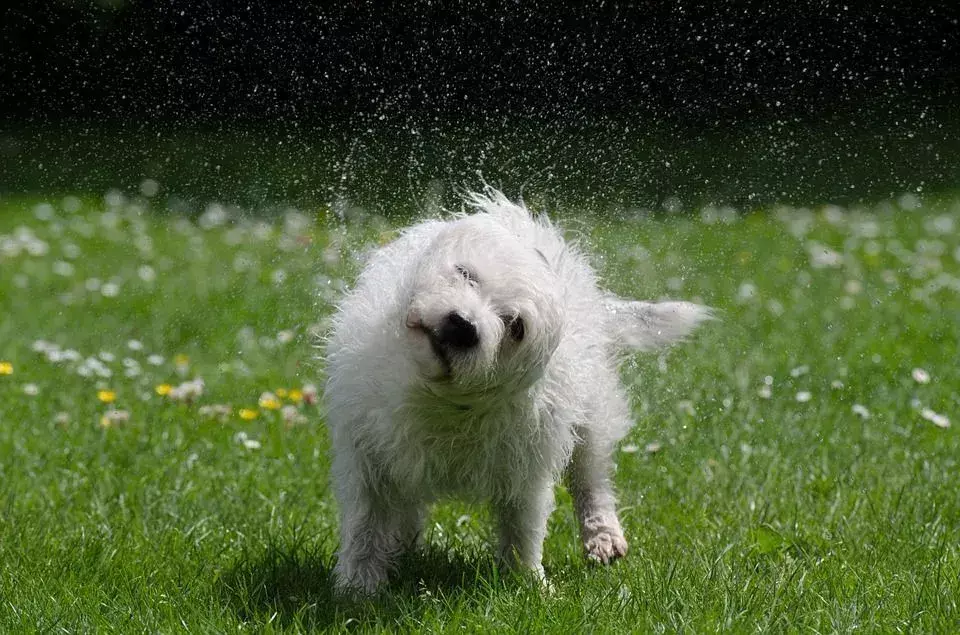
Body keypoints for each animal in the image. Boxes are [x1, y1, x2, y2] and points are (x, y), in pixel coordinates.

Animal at [322, 189, 712, 596]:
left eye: (515, 327)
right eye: (466, 274)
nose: (464, 326)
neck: (441, 400)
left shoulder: (528, 470)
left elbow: (524, 528)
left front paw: (529, 584)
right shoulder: (367, 457)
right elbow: (365, 523)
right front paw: (358, 586)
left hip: (591, 418)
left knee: (591, 477)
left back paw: (602, 533)